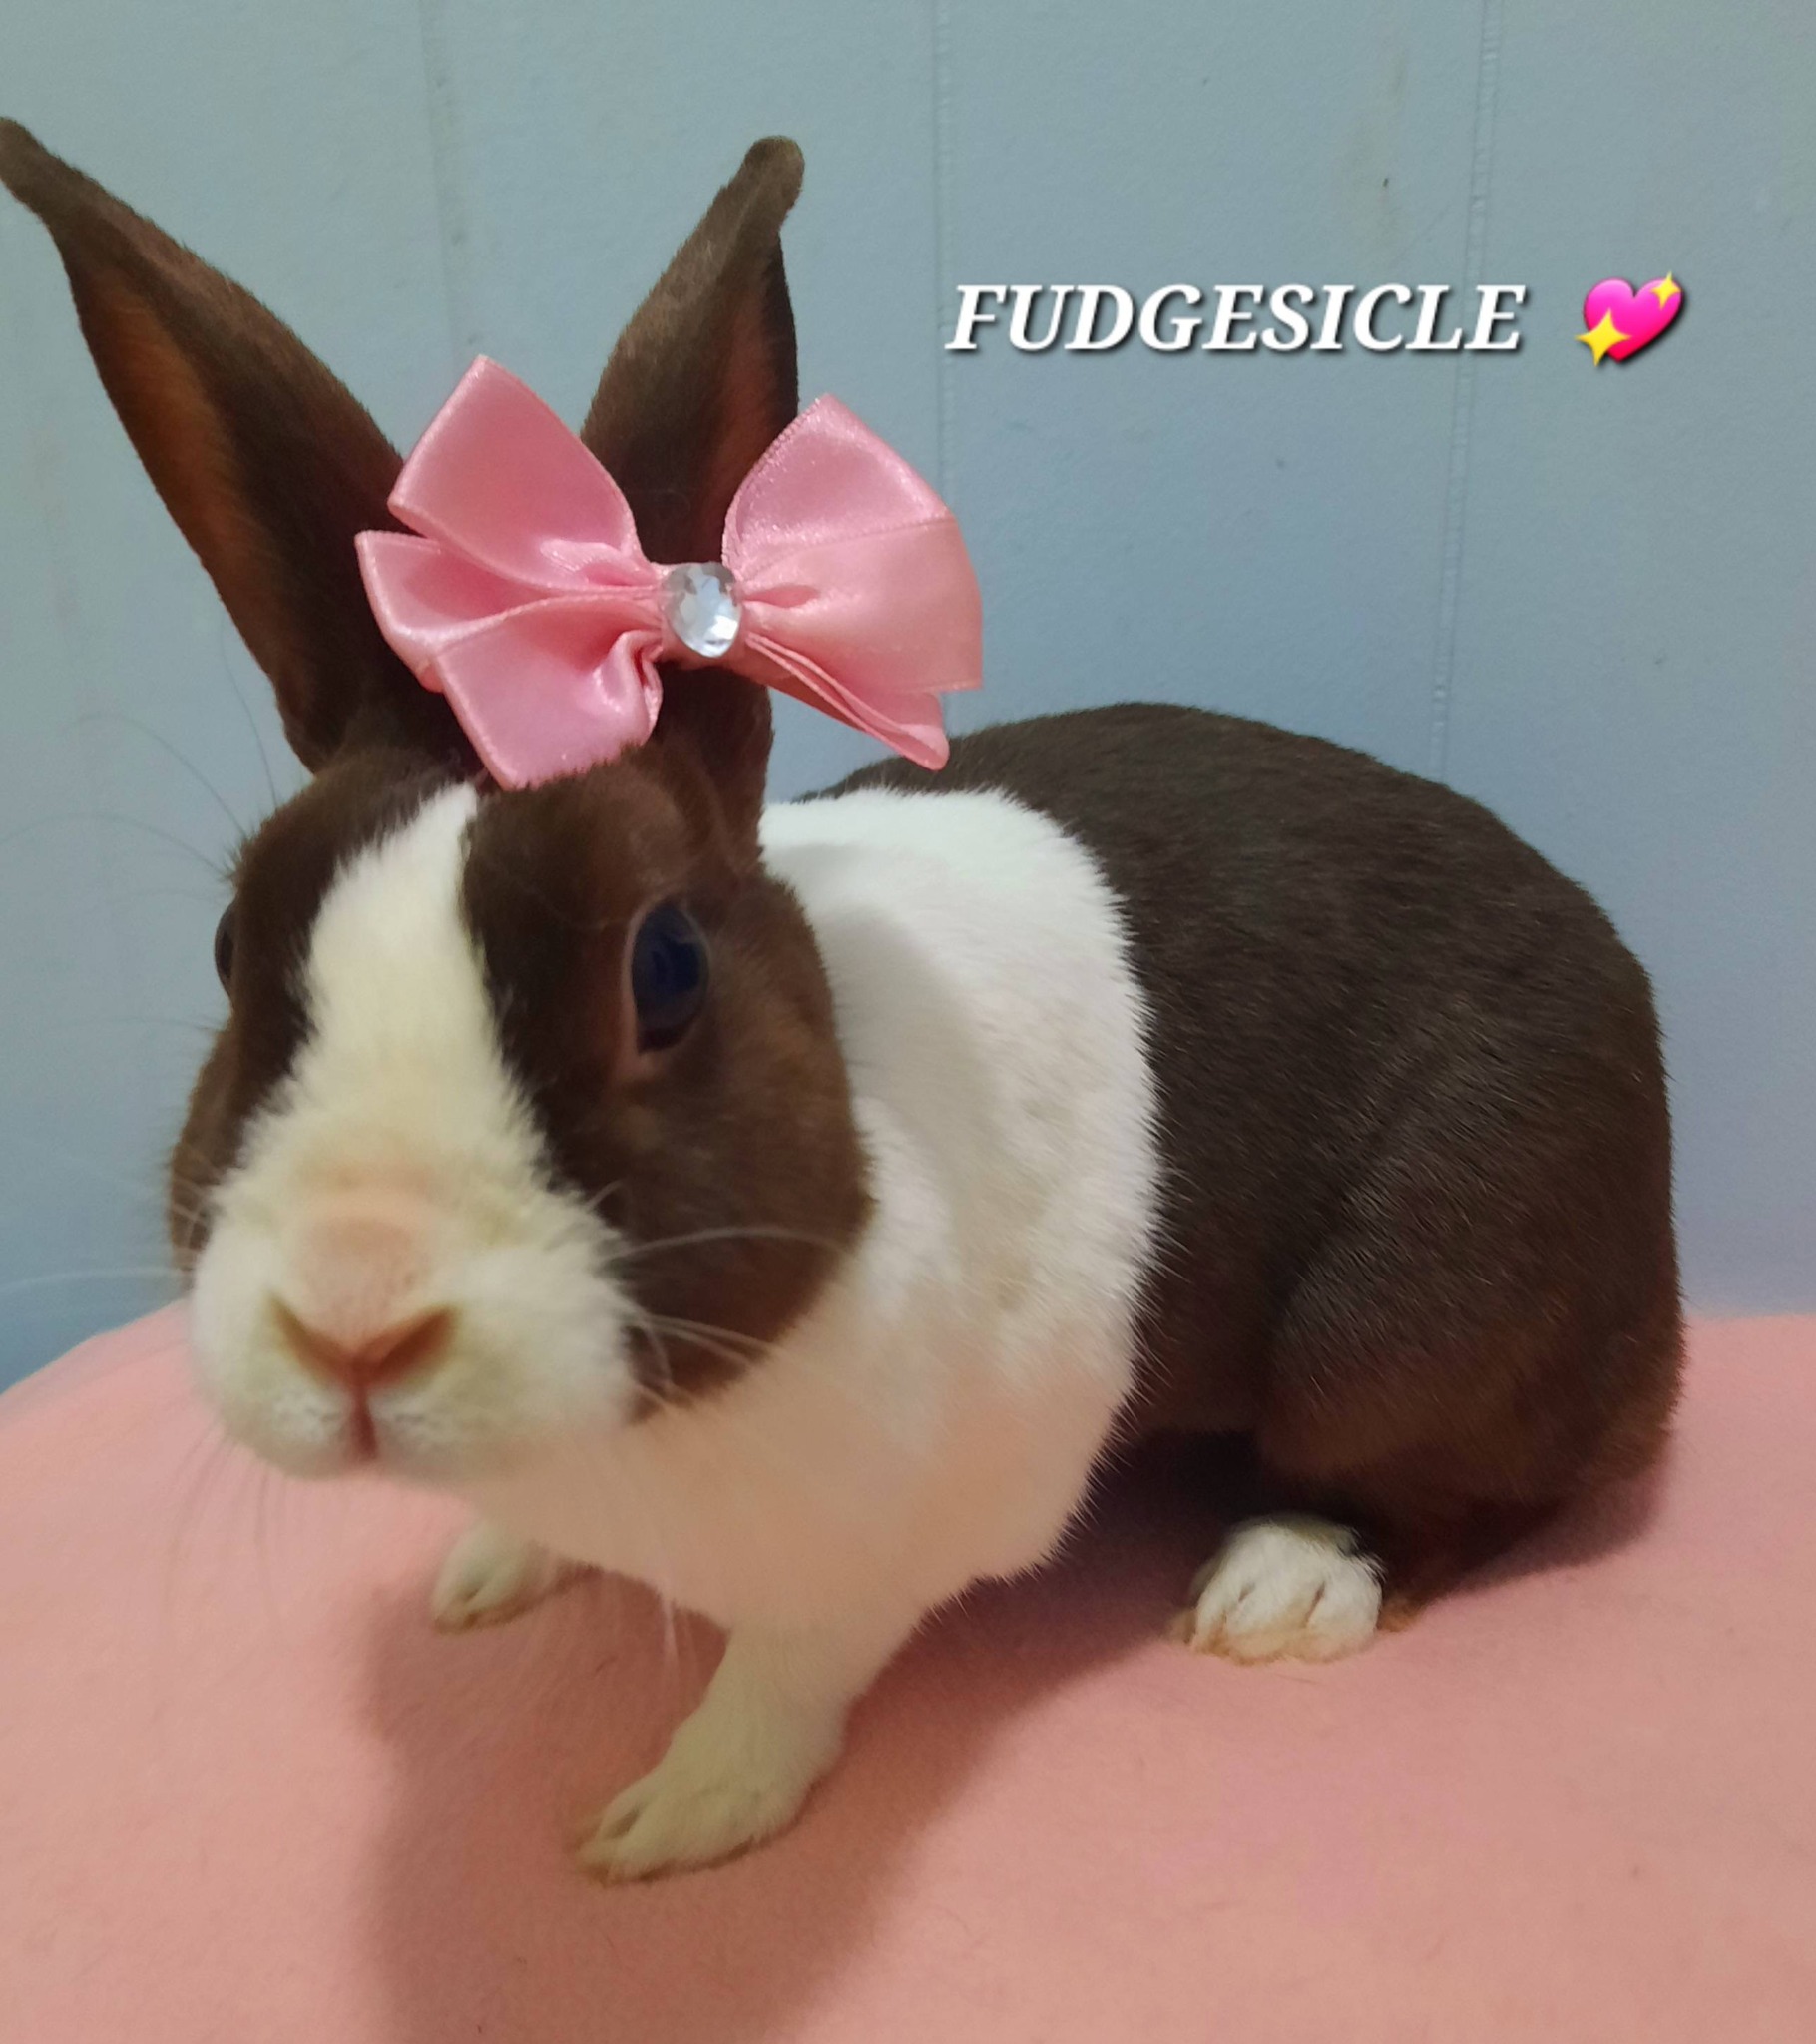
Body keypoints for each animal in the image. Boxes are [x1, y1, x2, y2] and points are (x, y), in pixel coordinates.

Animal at [0, 122, 1682, 1881]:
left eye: (665, 963)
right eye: (230, 946)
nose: (354, 1320)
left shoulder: (882, 1550)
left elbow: (785, 1676)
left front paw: (676, 1817)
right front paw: (491, 1571)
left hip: (1413, 1317)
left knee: (1471, 1482)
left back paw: (1280, 1581)